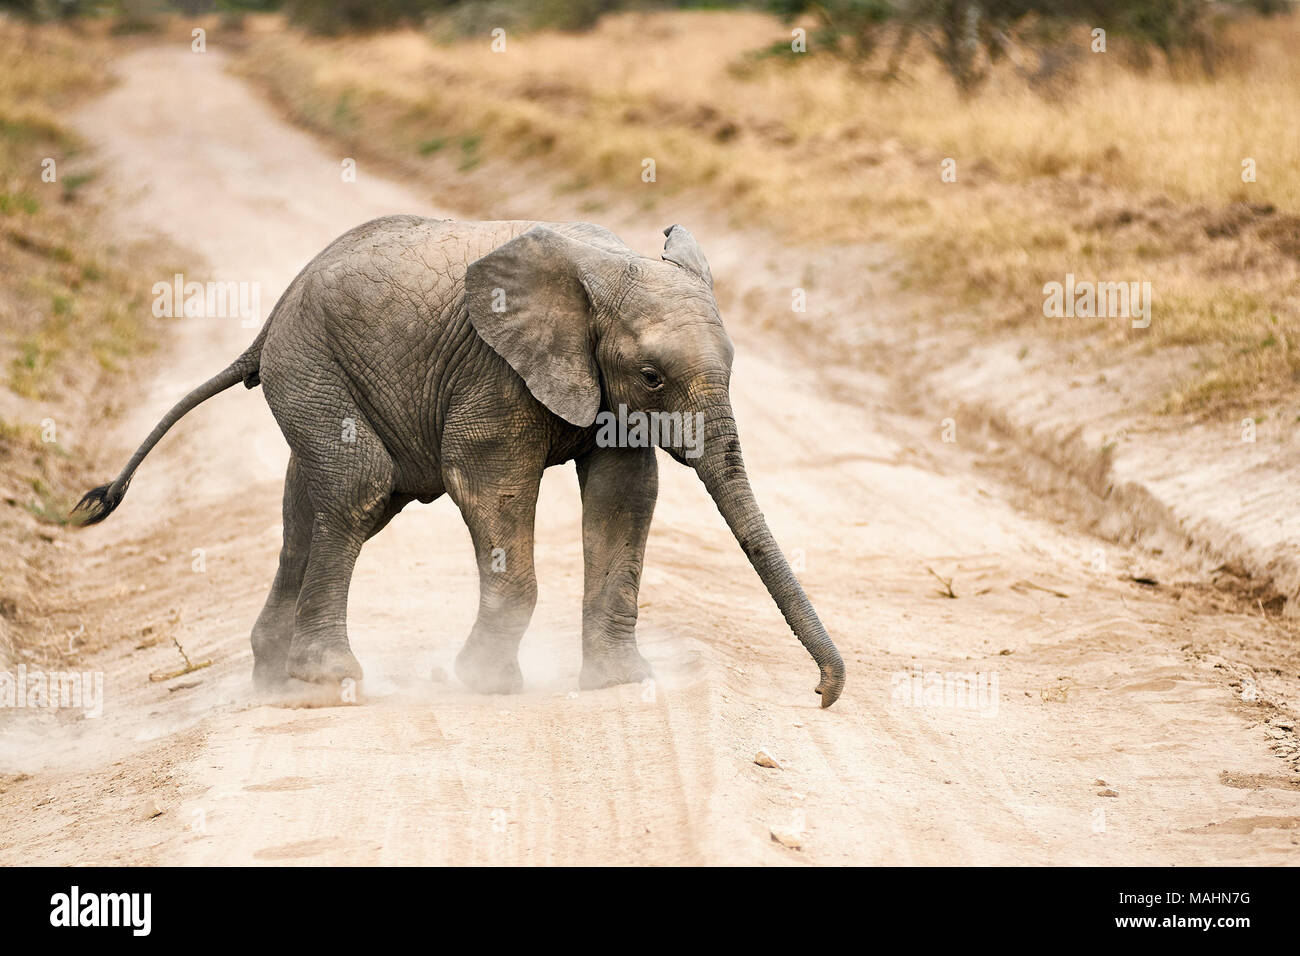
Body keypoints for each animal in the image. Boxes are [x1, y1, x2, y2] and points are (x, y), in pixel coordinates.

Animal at [75, 218, 846, 707]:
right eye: (653, 376)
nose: (822, 692)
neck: (605, 265)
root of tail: (266, 326)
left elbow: (626, 493)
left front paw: (622, 684)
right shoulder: (493, 370)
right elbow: (487, 480)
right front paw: (485, 685)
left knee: (314, 508)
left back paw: (276, 680)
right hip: (310, 363)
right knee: (359, 487)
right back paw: (328, 683)